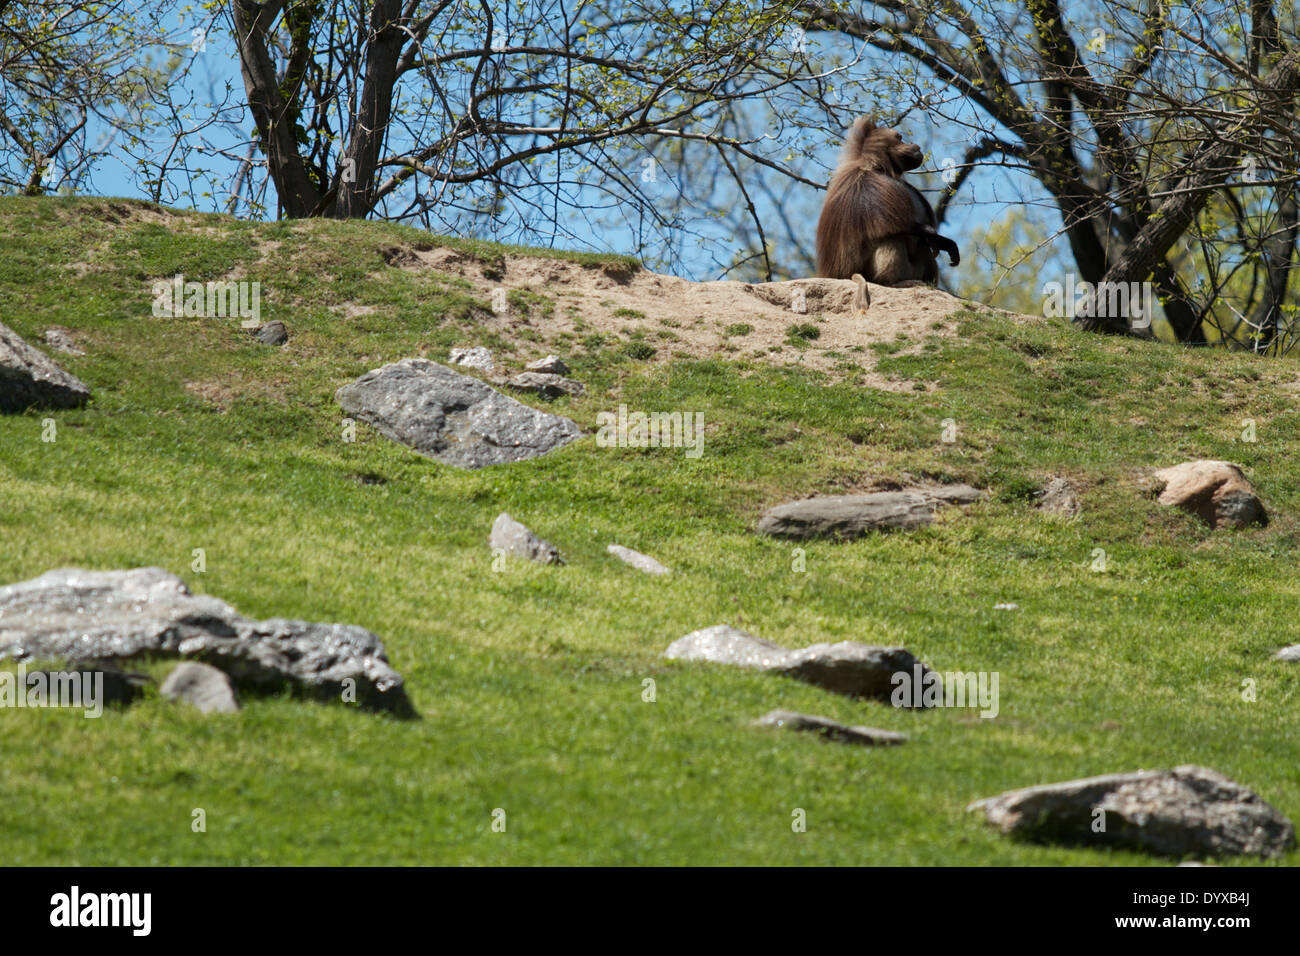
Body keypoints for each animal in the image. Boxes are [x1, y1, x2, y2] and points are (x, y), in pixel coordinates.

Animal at [815, 116, 960, 287]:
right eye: (899, 138)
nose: (915, 146)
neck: (878, 167)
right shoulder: (868, 187)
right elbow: (895, 225)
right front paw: (935, 236)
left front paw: (947, 244)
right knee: (894, 236)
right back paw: (888, 280)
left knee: (921, 246)